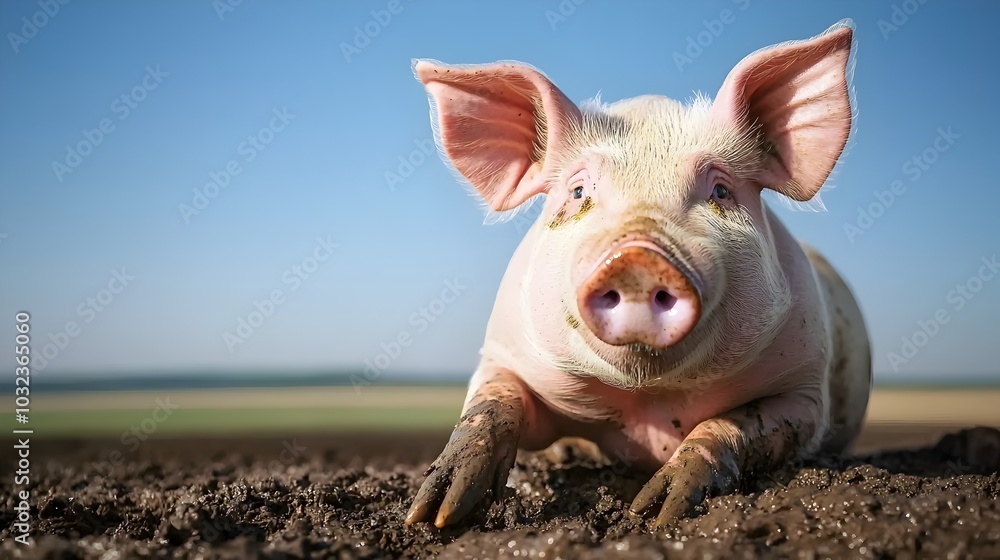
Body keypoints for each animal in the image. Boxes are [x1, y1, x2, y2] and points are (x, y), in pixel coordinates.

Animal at [404, 20, 871, 528]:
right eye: (578, 191)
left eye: (721, 190)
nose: (638, 259)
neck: (647, 406)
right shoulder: (502, 352)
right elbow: (491, 403)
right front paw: (434, 514)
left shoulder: (806, 387)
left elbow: (730, 425)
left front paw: (655, 513)